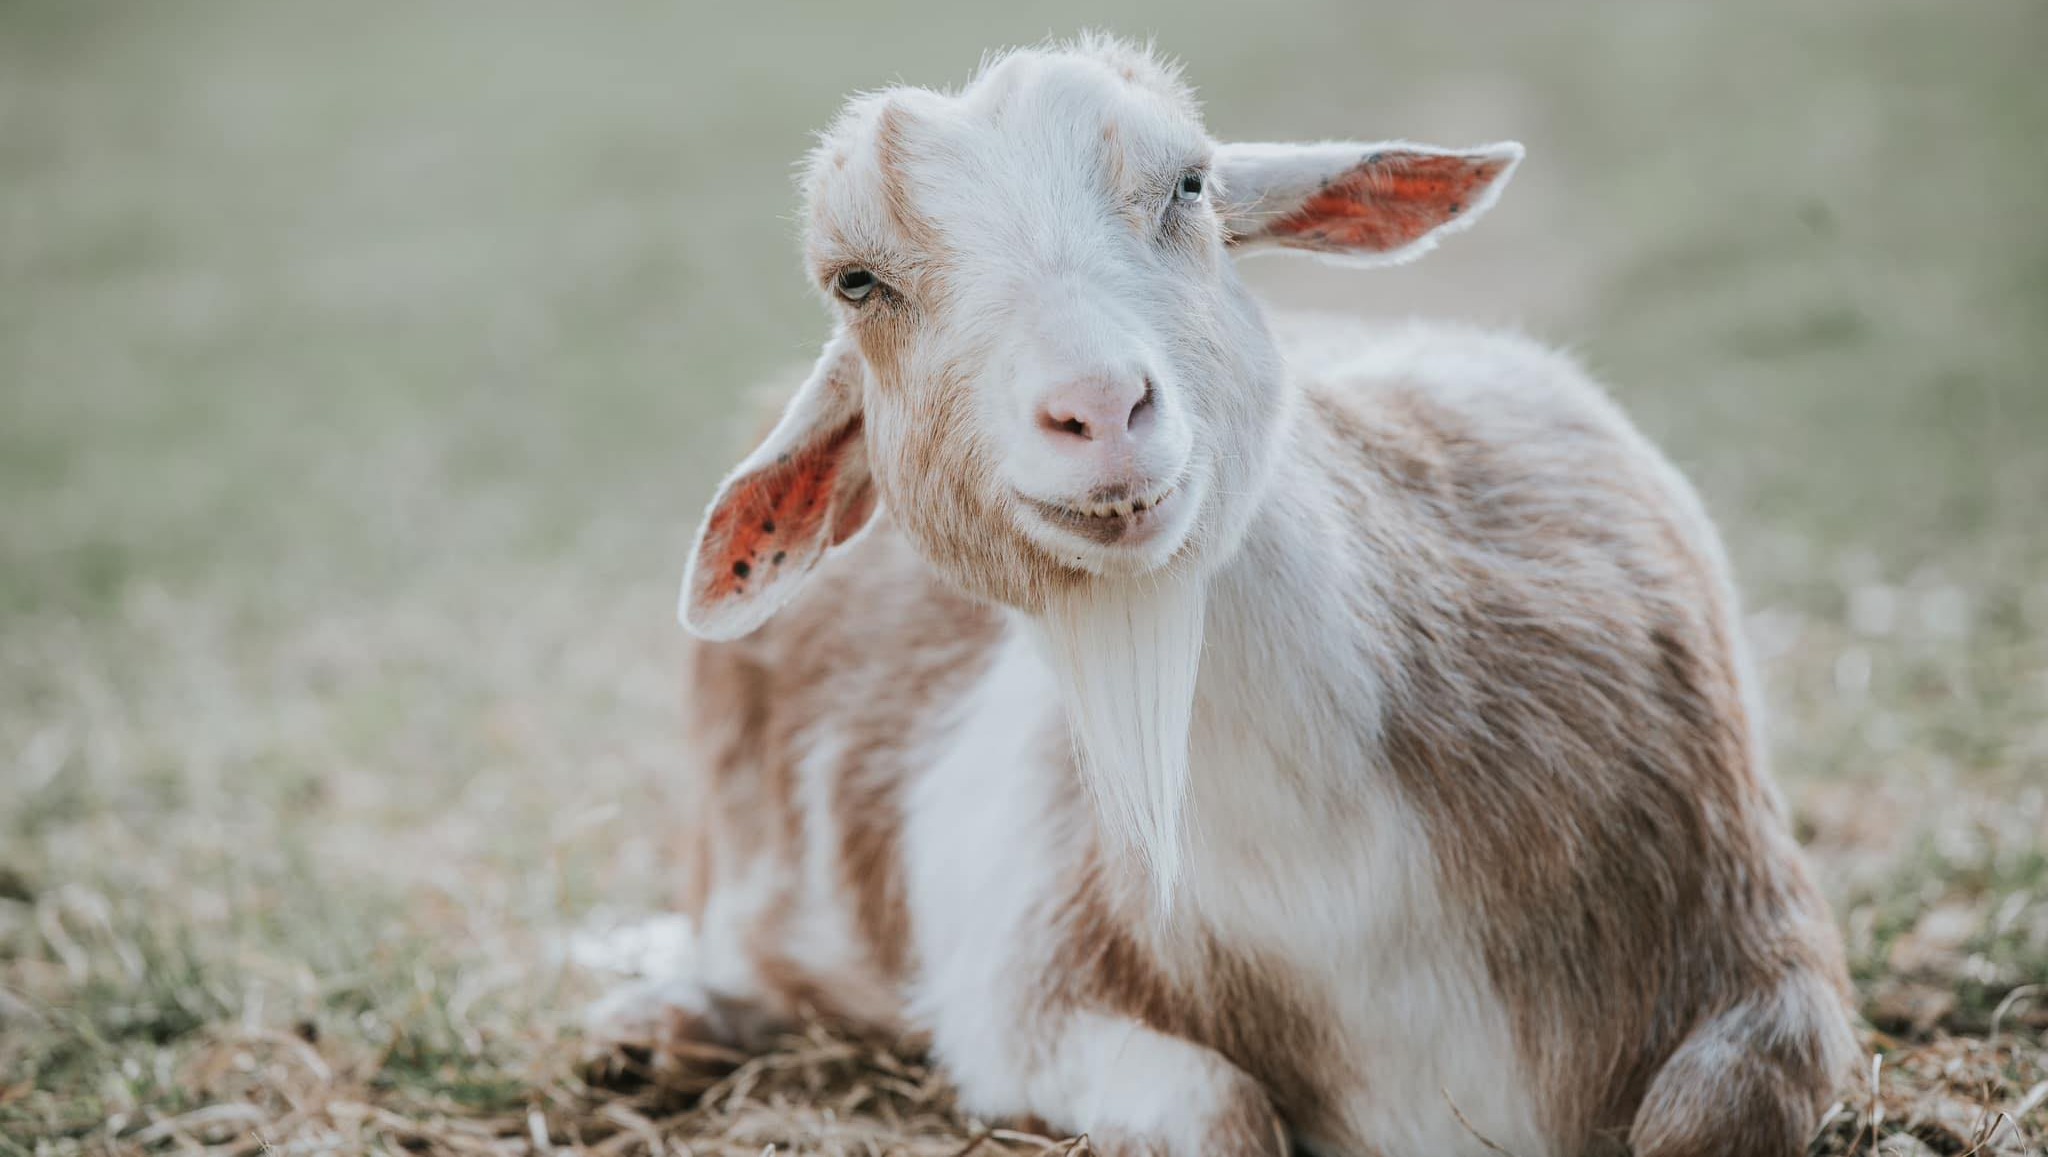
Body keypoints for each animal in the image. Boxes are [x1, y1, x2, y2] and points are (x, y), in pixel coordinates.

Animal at [594, 36, 1857, 1156]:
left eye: (1188, 186)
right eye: (857, 281)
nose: (1099, 409)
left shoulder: (1767, 941)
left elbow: (1714, 1108)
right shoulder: (1021, 998)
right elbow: (1217, 1110)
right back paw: (653, 1028)